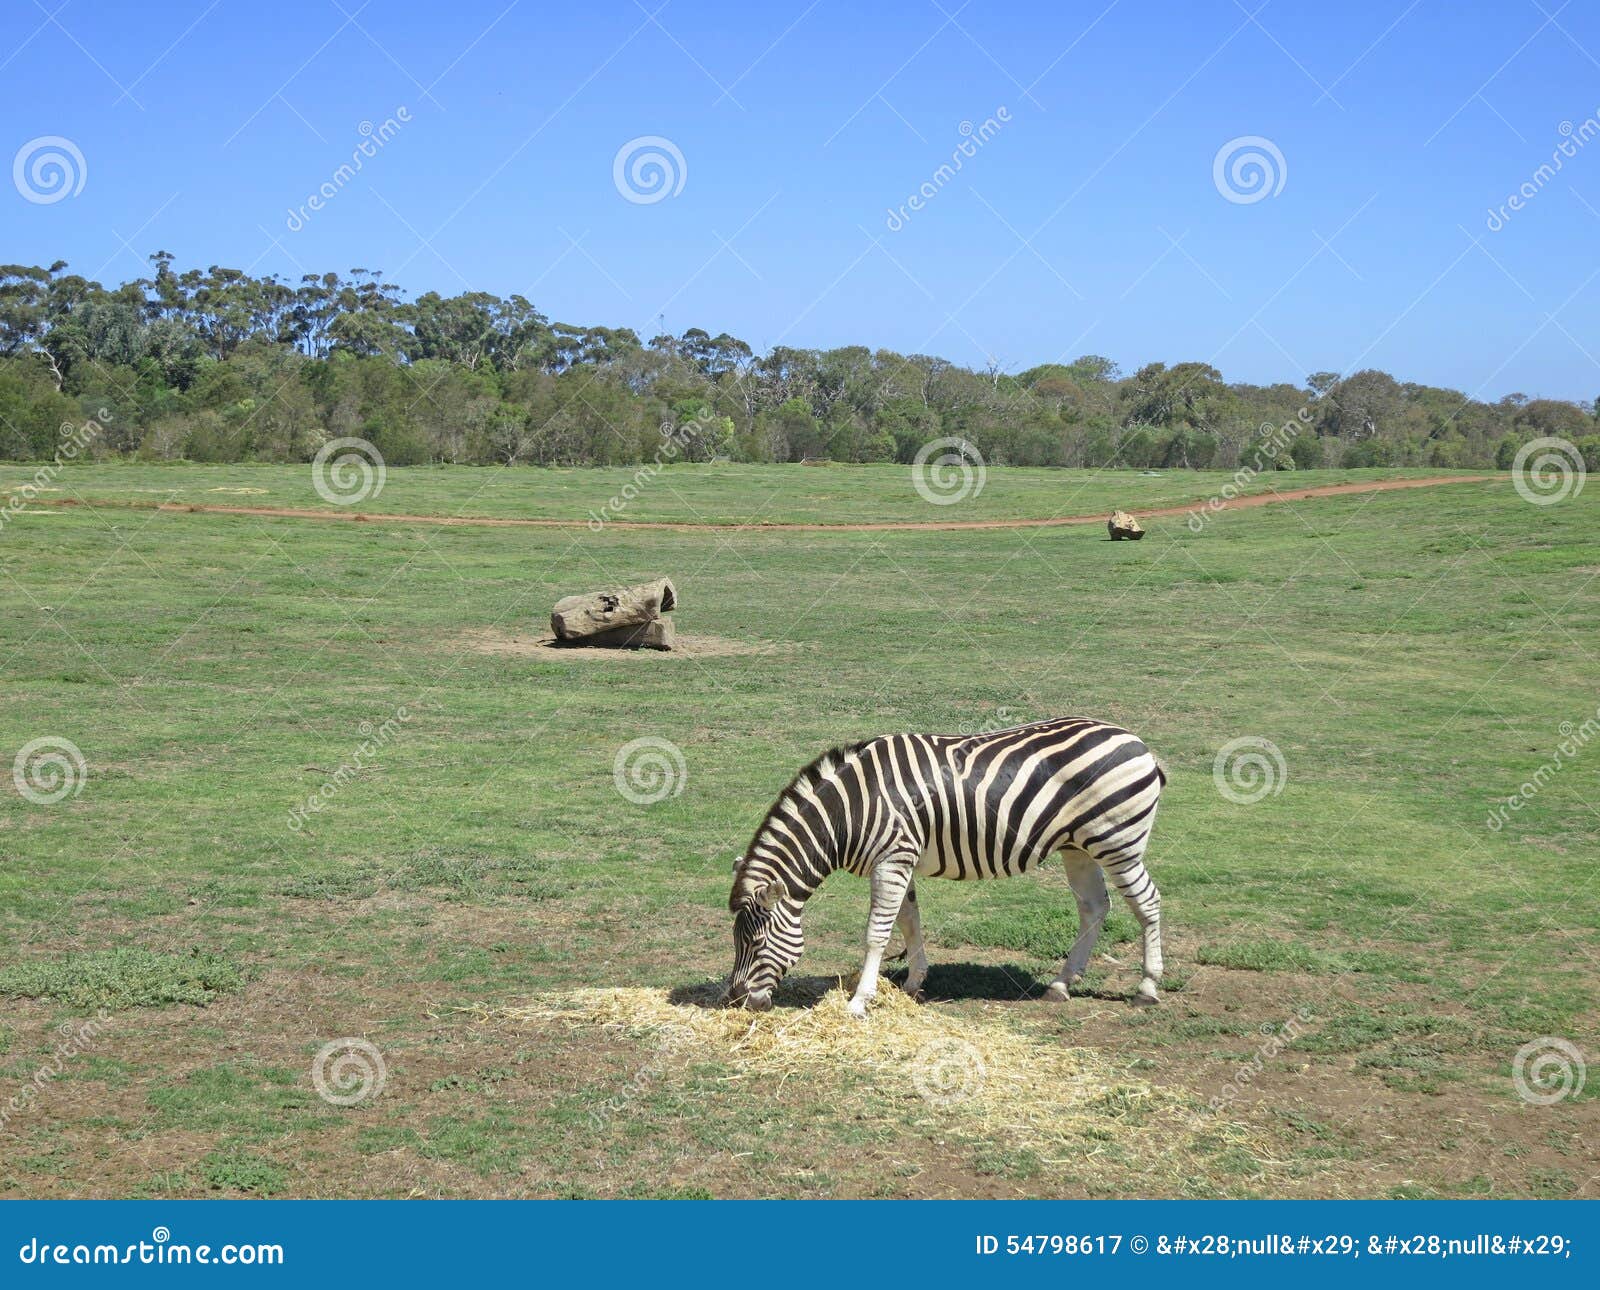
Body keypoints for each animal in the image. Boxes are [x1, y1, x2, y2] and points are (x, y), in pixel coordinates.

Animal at [726, 717, 1166, 1016]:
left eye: (756, 943)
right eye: (736, 942)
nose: (736, 1001)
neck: (851, 812)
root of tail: (1137, 742)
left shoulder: (893, 859)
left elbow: (876, 934)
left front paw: (859, 1002)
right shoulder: (897, 860)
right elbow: (908, 922)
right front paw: (913, 983)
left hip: (1118, 841)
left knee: (1147, 903)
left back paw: (1146, 988)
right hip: (1079, 846)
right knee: (1094, 907)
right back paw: (1061, 984)